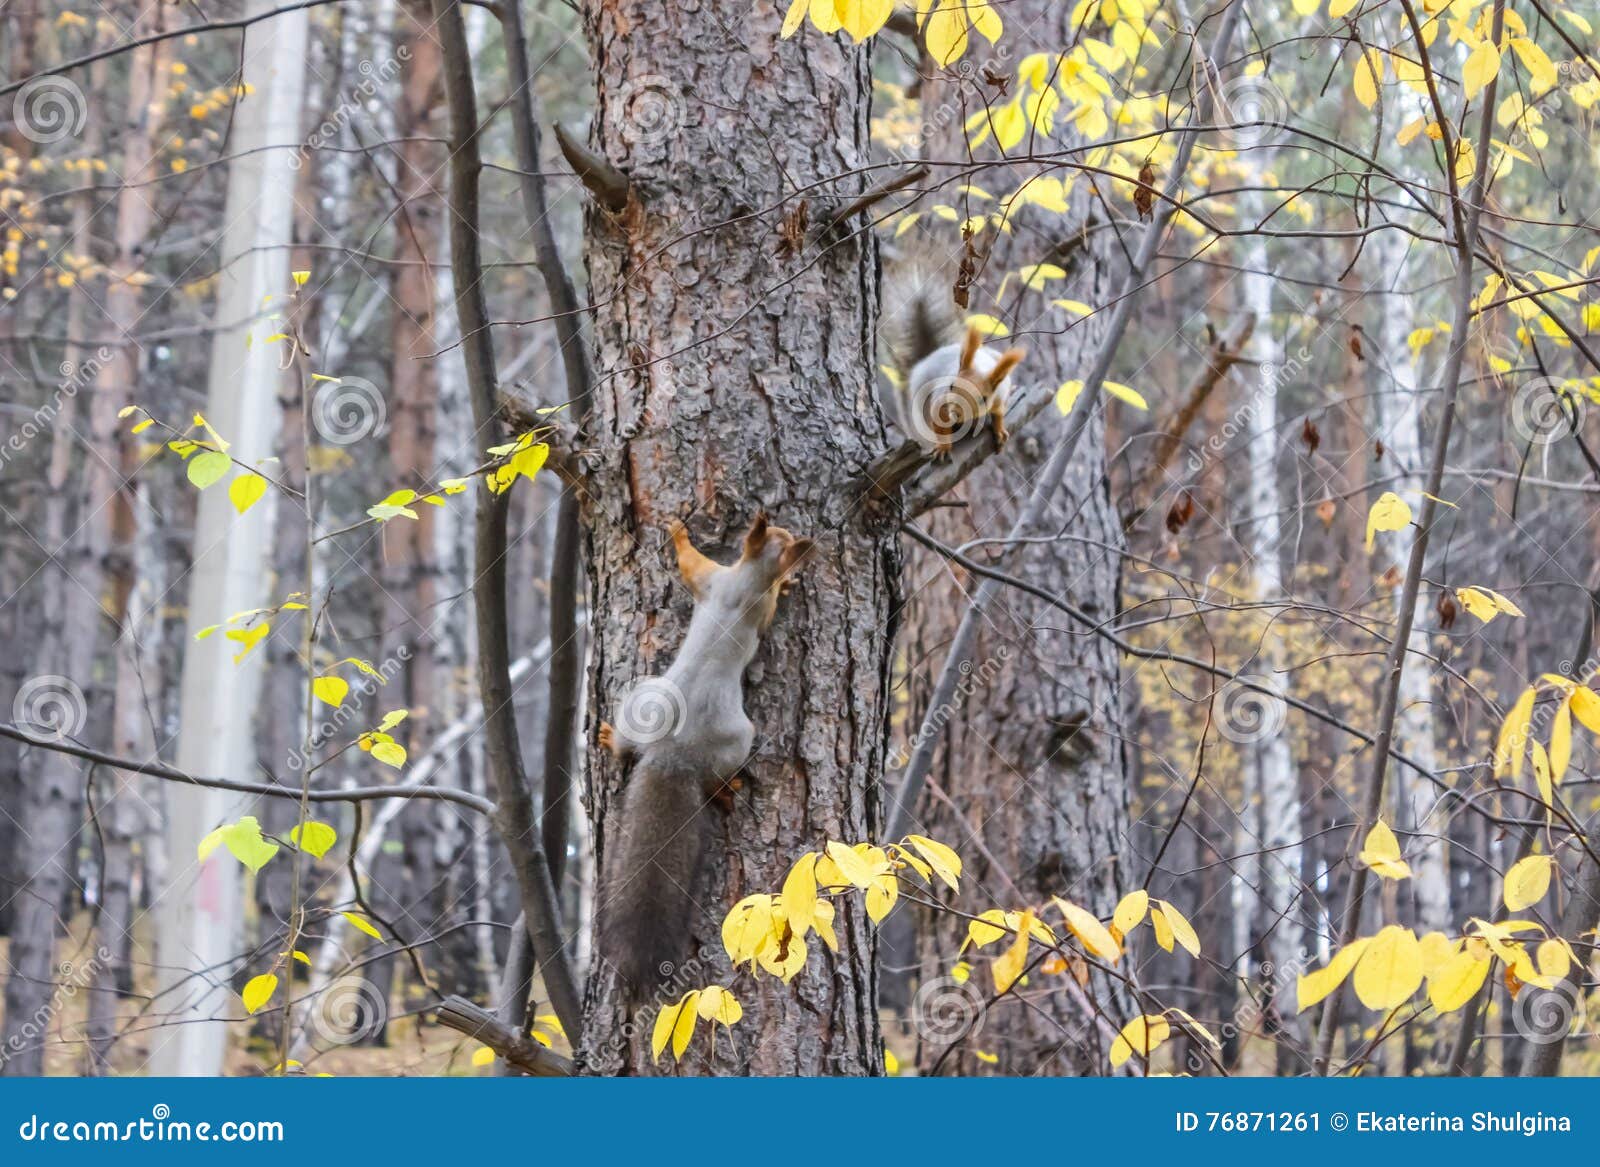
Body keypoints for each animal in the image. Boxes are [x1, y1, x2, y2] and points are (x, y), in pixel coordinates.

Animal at [595, 512, 813, 998]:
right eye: (781, 536)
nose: (792, 538)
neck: (747, 581)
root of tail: (675, 752)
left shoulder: (716, 581)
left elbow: (689, 567)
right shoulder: (731, 588)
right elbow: (698, 568)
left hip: (641, 698)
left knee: (627, 745)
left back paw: (609, 737)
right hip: (740, 737)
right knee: (716, 779)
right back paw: (727, 789)